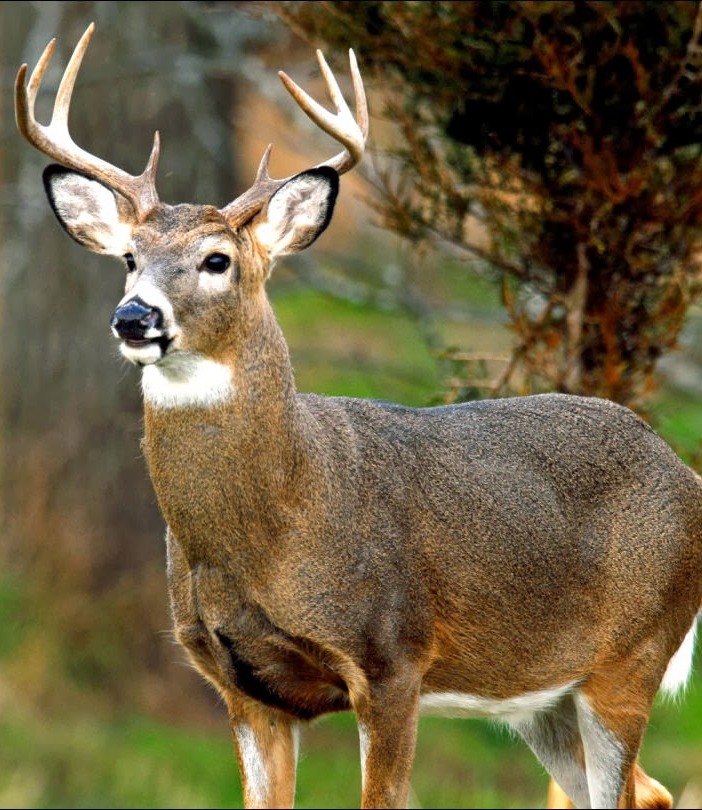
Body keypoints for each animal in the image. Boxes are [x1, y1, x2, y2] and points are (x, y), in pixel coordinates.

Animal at [15, 22, 701, 810]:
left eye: (218, 260)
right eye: (129, 257)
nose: (134, 317)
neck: (276, 521)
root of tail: (681, 468)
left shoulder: (391, 658)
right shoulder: (241, 686)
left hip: (632, 654)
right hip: (543, 695)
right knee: (644, 791)